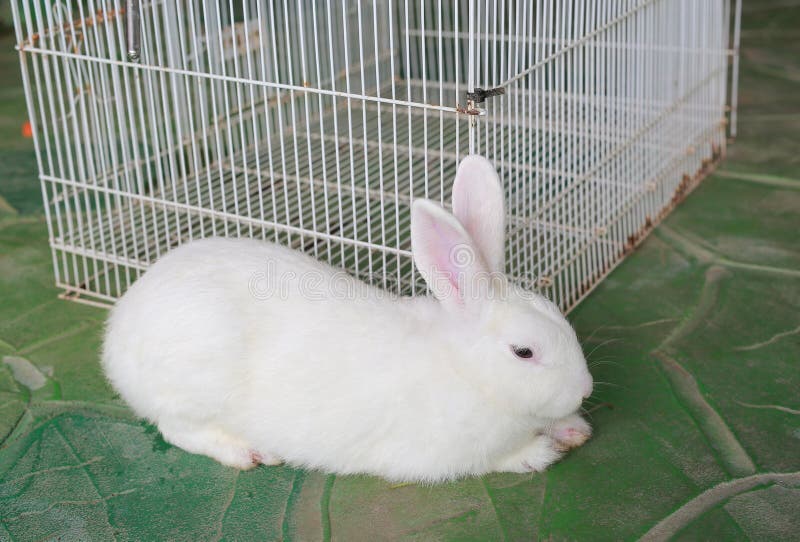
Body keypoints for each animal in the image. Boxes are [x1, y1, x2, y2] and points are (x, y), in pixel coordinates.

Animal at [102, 155, 593, 483]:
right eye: (524, 352)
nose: (585, 389)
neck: (468, 373)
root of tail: (118, 335)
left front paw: (574, 428)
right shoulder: (439, 453)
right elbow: (494, 459)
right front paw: (538, 453)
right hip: (193, 386)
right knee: (177, 429)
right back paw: (247, 451)